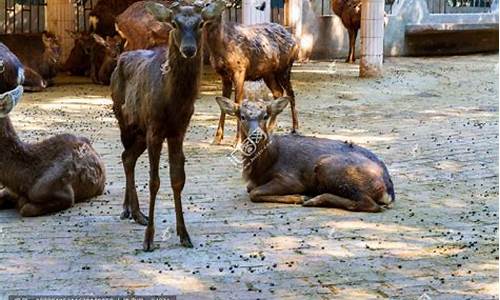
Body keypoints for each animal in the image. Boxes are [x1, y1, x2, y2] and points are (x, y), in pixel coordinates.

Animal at [110, 0, 214, 251]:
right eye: (174, 23)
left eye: (201, 23)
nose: (189, 49)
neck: (172, 102)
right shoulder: (155, 129)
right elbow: (154, 181)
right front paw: (148, 239)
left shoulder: (178, 130)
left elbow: (177, 179)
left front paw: (184, 235)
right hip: (124, 120)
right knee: (125, 156)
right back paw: (131, 211)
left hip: (140, 131)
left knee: (127, 157)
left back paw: (135, 212)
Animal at [202, 0, 298, 145]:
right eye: (203, 4)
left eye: (213, 4)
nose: (202, 14)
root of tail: (294, 40)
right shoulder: (224, 75)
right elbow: (224, 104)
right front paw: (217, 139)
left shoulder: (240, 70)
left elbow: (238, 101)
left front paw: (237, 141)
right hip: (268, 73)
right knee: (278, 92)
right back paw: (270, 128)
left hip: (285, 68)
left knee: (290, 94)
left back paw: (295, 128)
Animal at [217, 97, 396, 212]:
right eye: (242, 116)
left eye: (265, 115)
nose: (256, 135)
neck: (260, 169)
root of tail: (388, 191)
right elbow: (250, 188)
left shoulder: (291, 179)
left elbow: (254, 193)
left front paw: (298, 197)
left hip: (328, 166)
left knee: (370, 204)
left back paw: (314, 199)